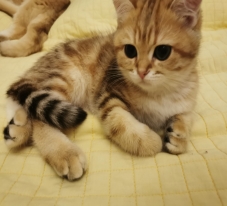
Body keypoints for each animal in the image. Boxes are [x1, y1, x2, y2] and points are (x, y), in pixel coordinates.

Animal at [3, 0, 202, 180]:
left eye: (162, 52)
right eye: (130, 50)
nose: (142, 71)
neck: (161, 92)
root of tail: (38, 65)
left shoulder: (189, 99)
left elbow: (187, 116)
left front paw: (179, 135)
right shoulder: (108, 93)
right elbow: (121, 122)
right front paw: (149, 141)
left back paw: (16, 129)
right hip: (67, 77)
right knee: (38, 117)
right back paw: (64, 153)